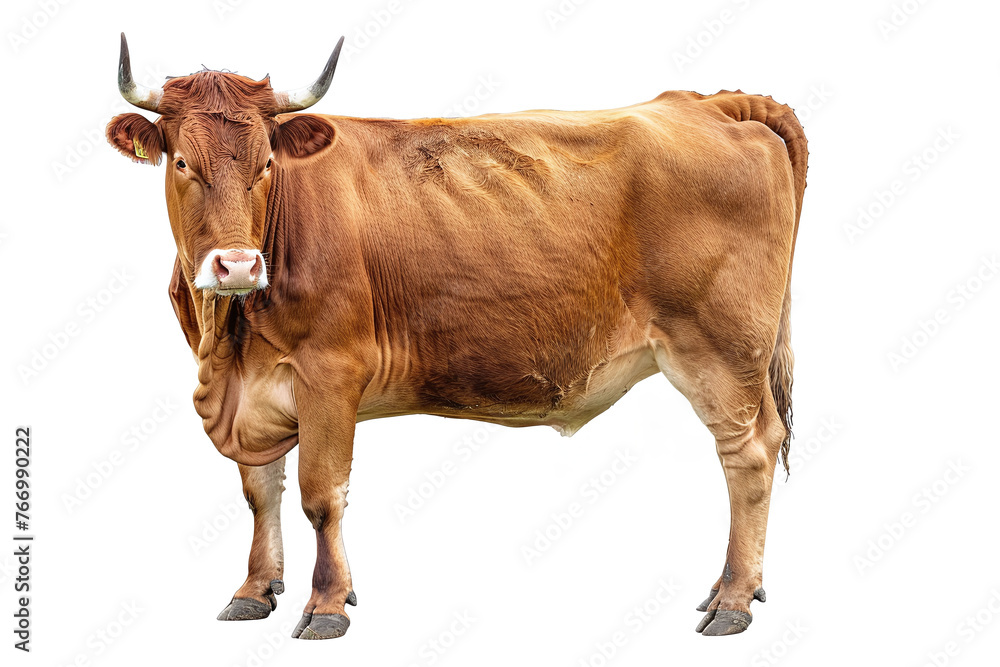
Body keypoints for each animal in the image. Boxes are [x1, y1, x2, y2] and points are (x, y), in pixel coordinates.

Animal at [106, 32, 807, 640]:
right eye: (183, 162)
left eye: (267, 164)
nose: (238, 266)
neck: (226, 345)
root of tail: (704, 102)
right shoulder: (253, 392)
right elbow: (260, 493)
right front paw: (254, 591)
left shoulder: (331, 372)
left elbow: (320, 495)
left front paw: (327, 604)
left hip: (721, 348)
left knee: (749, 453)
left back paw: (733, 600)